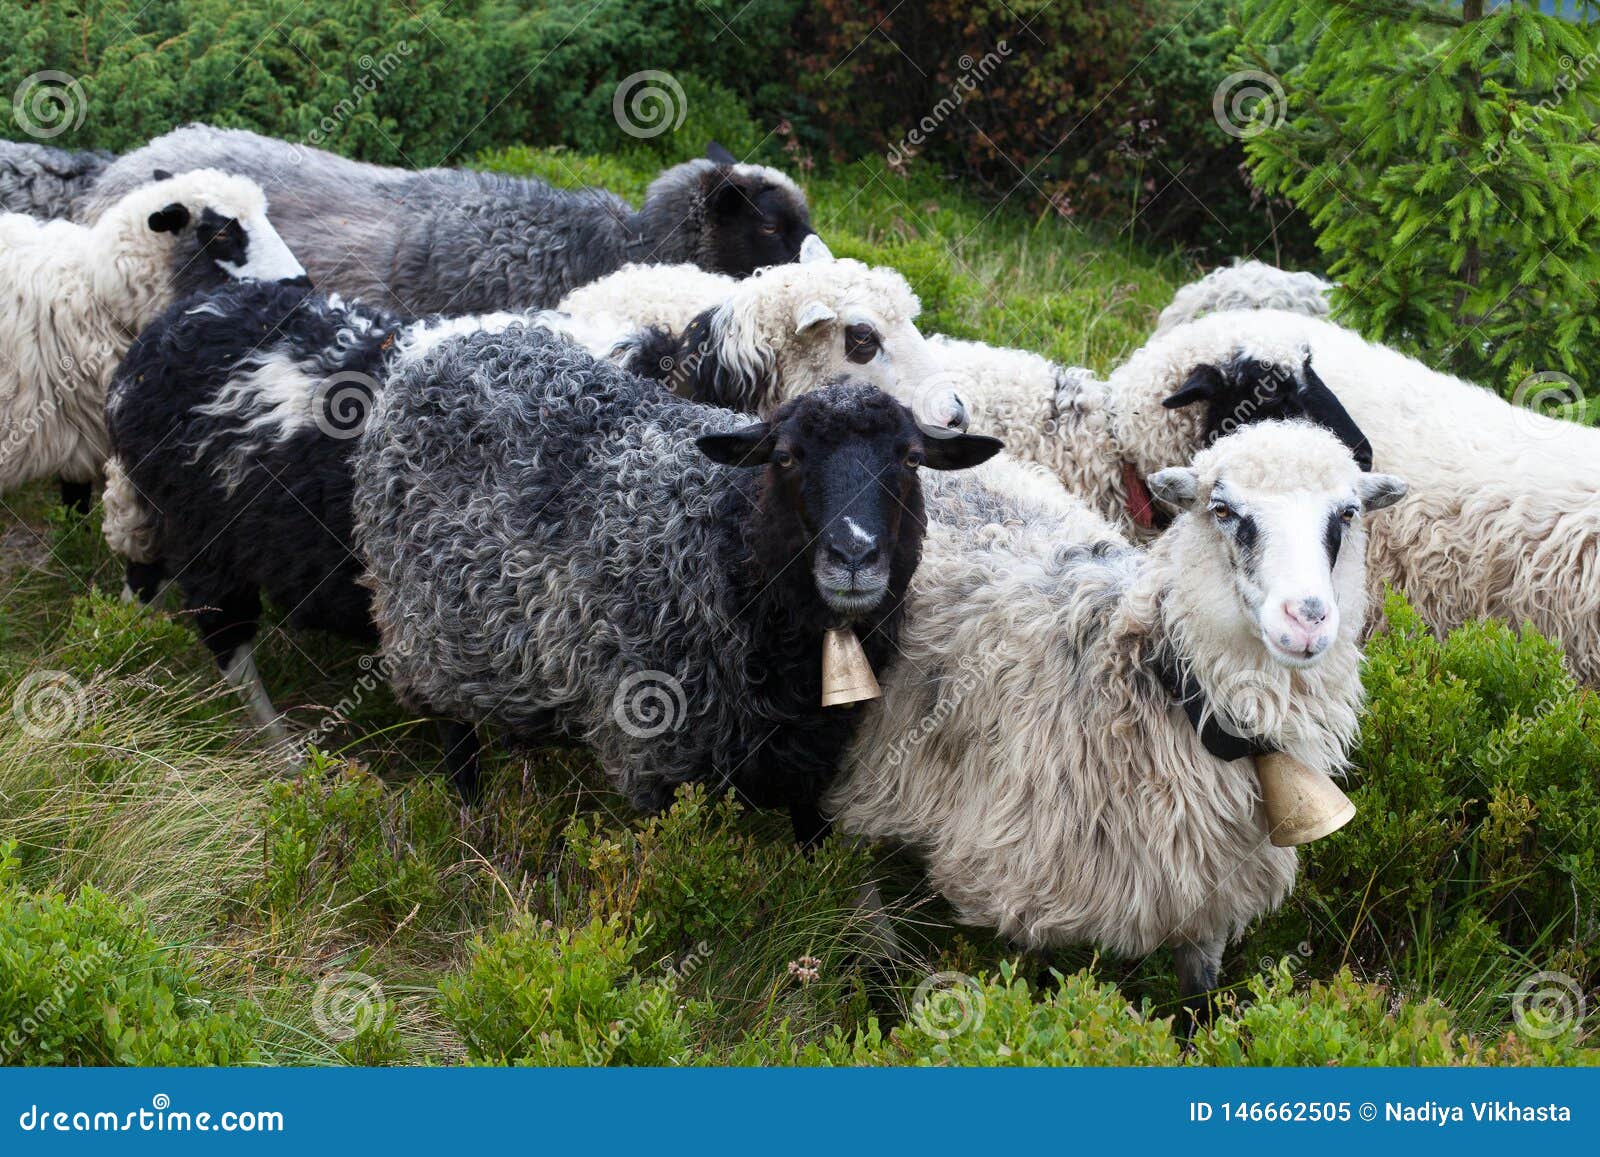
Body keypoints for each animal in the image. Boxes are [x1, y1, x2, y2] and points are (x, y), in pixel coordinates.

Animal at [352, 324, 1002, 836]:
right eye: (785, 457)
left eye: (911, 460)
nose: (854, 554)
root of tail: (439, 349)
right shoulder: (657, 751)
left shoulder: (815, 755)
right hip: (427, 629)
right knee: (453, 728)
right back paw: (469, 807)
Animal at [827, 421, 1408, 1019]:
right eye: (1222, 509)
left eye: (1347, 513)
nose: (1307, 618)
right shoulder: (1025, 885)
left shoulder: (1207, 895)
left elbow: (1198, 1006)